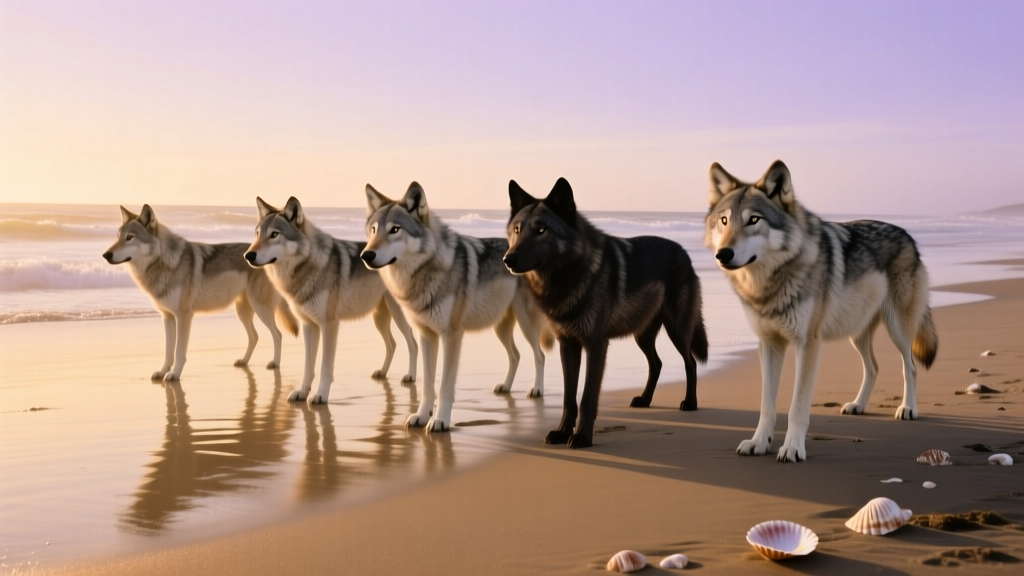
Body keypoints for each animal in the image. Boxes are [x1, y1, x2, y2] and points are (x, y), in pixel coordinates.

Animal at [102, 204, 298, 382]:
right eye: (118, 237)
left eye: (130, 238)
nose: (106, 255)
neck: (165, 263)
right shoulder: (167, 317)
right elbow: (168, 351)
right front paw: (163, 371)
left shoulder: (183, 317)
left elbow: (179, 351)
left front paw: (174, 374)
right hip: (242, 311)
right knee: (255, 336)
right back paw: (243, 361)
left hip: (260, 309)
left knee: (277, 334)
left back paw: (274, 363)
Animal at [244, 197, 419, 404]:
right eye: (257, 234)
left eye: (274, 234)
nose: (248, 255)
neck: (308, 268)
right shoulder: (309, 325)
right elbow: (308, 366)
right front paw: (302, 392)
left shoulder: (329, 325)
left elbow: (324, 367)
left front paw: (320, 395)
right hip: (379, 319)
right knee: (392, 344)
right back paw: (382, 373)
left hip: (399, 317)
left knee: (413, 343)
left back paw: (410, 376)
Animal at [360, 182, 549, 432]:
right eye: (373, 230)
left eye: (395, 230)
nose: (365, 255)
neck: (424, 275)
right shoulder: (426, 336)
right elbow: (427, 384)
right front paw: (421, 416)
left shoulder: (451, 336)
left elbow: (444, 387)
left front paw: (440, 420)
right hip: (500, 327)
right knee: (516, 355)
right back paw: (505, 387)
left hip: (526, 323)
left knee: (540, 355)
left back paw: (537, 389)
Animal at [504, 178, 709, 448]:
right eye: (517, 230)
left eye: (541, 230)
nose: (508, 259)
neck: (567, 277)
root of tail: (683, 252)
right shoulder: (568, 345)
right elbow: (569, 398)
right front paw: (561, 432)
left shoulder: (595, 345)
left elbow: (587, 397)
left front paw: (582, 437)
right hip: (642, 336)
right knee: (657, 363)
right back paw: (644, 400)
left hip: (676, 329)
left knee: (690, 362)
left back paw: (690, 403)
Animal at [705, 160, 939, 463]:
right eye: (724, 221)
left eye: (753, 220)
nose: (723, 254)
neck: (769, 284)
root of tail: (909, 237)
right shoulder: (768, 344)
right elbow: (767, 405)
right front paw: (759, 442)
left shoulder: (807, 344)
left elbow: (797, 407)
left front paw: (793, 448)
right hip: (856, 333)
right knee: (873, 367)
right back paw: (857, 405)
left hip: (897, 329)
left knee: (909, 366)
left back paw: (908, 409)